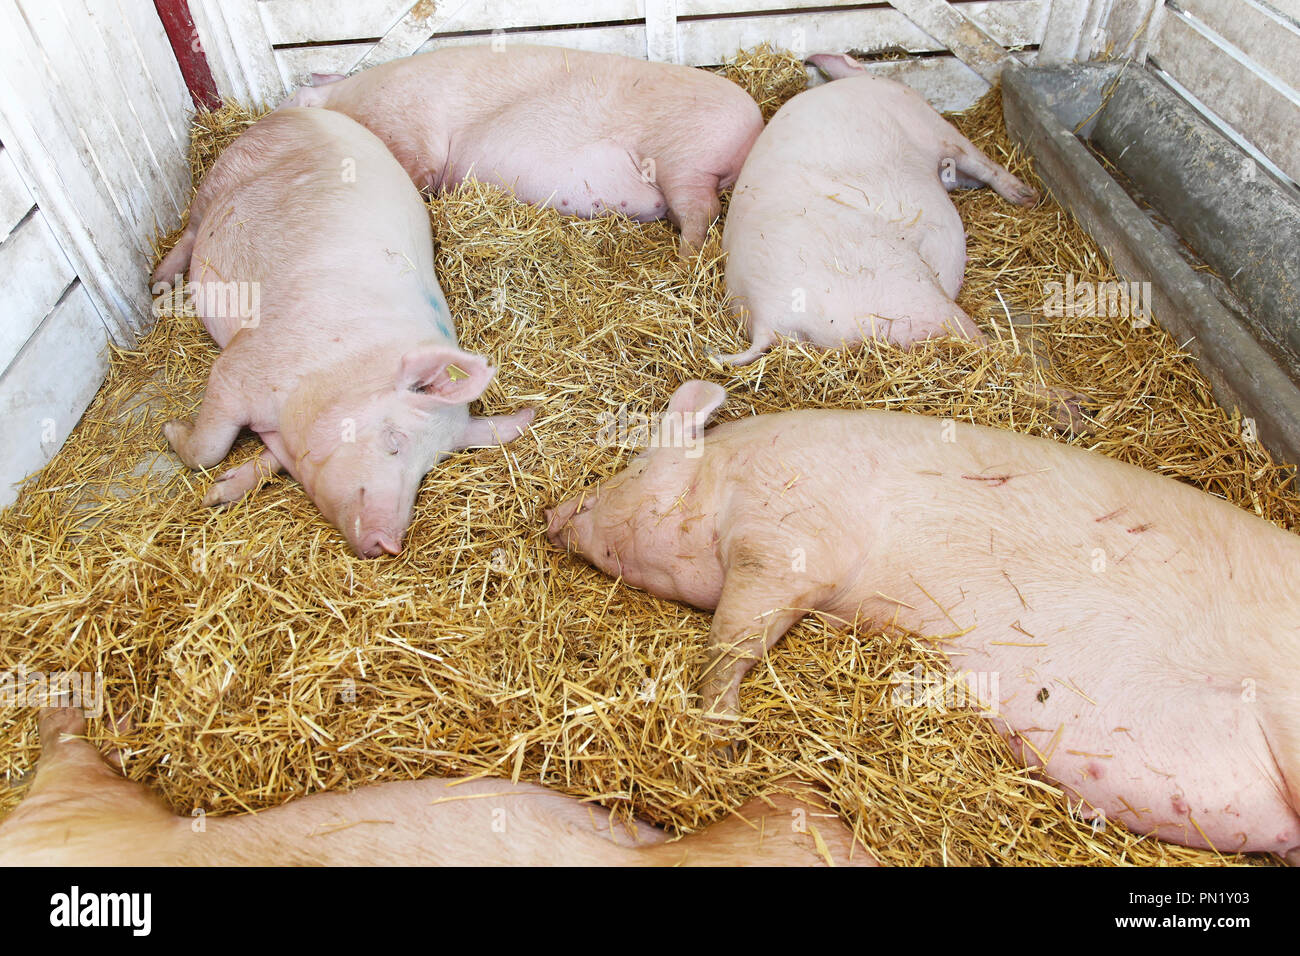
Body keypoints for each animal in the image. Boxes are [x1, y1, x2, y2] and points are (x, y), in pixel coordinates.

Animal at [151, 107, 532, 558]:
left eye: (431, 464)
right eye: (394, 439)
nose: (388, 543)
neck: (341, 370)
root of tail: (307, 110)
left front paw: (219, 494)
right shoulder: (239, 368)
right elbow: (208, 450)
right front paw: (171, 431)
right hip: (218, 179)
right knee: (191, 229)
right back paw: (157, 282)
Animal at [283, 44, 764, 256]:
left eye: (296, 100)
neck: (350, 100)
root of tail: (754, 126)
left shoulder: (407, 129)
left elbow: (413, 173)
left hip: (684, 157)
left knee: (700, 213)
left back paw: (685, 259)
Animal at [546, 381, 1300, 860]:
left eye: (632, 468)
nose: (554, 513)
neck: (723, 477)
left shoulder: (786, 539)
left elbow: (731, 642)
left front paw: (719, 738)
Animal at [717, 52, 1039, 365]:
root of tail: (766, 319)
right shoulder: (931, 127)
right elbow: (981, 162)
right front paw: (1028, 196)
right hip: (909, 289)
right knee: (977, 342)